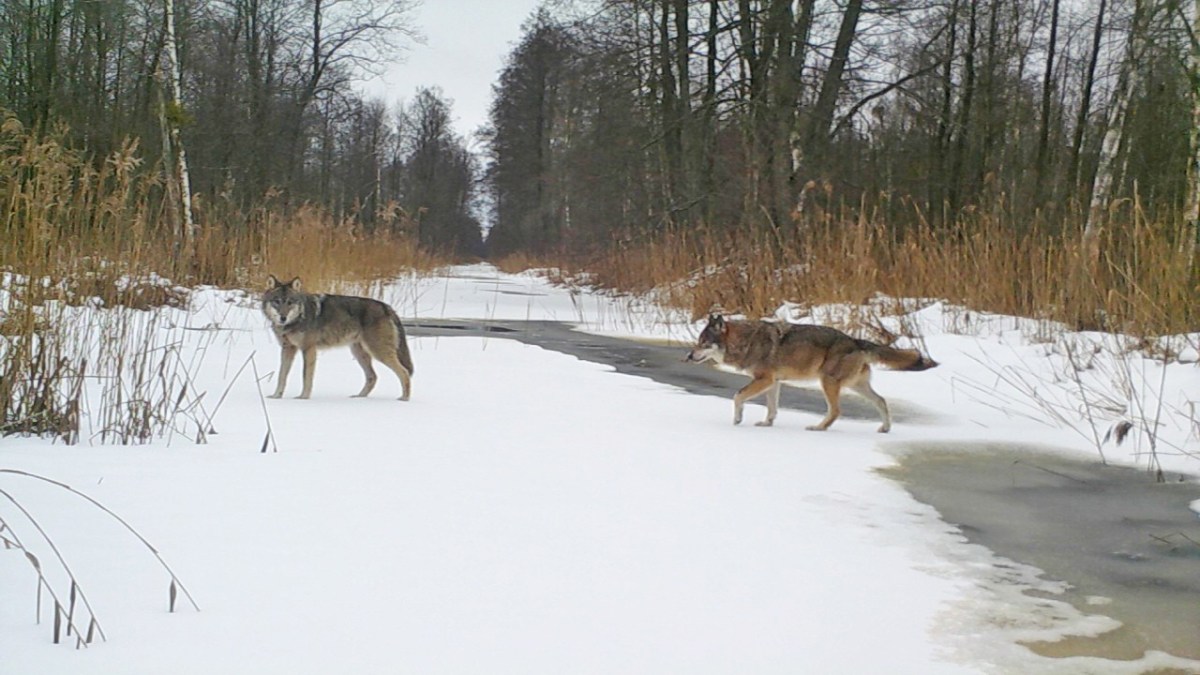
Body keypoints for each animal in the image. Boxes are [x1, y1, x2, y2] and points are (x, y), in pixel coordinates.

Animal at [261, 275, 413, 400]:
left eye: (290, 302)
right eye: (277, 301)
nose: (283, 317)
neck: (297, 318)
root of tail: (387, 307)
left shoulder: (308, 349)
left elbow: (306, 376)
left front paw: (303, 398)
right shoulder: (287, 349)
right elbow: (281, 375)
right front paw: (276, 396)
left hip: (379, 352)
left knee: (404, 372)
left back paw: (404, 399)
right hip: (359, 353)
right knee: (372, 377)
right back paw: (358, 397)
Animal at [686, 314, 937, 432]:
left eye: (703, 343)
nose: (688, 356)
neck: (745, 342)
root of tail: (855, 340)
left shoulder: (764, 379)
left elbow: (738, 396)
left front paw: (738, 419)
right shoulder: (773, 382)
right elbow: (772, 408)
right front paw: (767, 424)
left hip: (827, 382)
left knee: (836, 411)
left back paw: (818, 428)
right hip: (855, 386)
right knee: (882, 401)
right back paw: (885, 428)